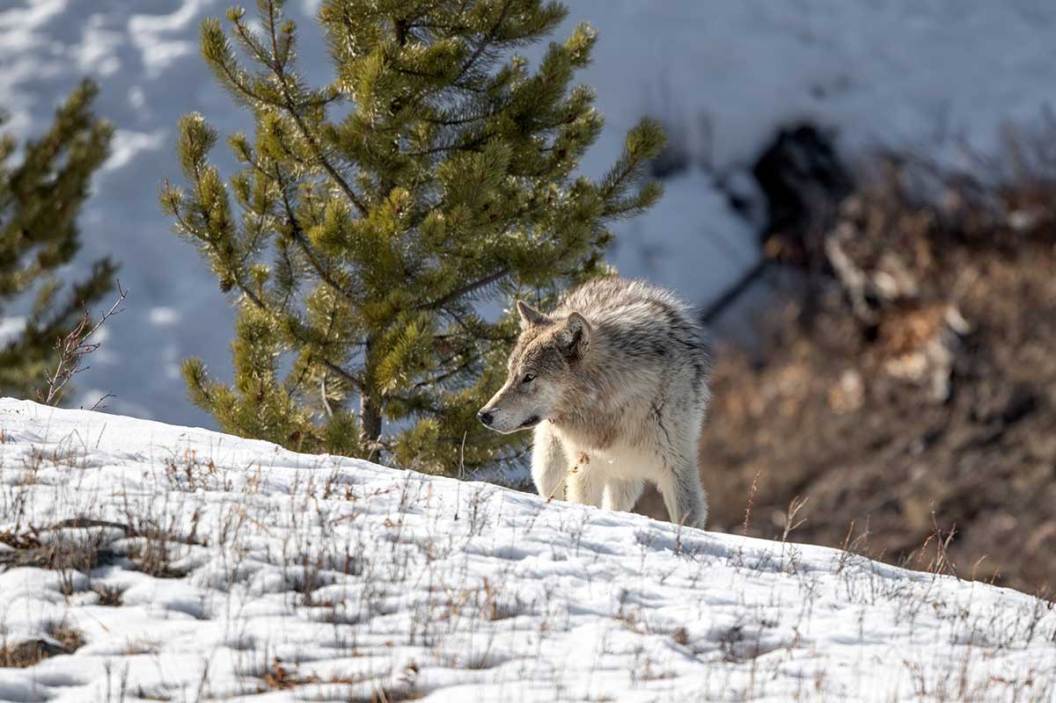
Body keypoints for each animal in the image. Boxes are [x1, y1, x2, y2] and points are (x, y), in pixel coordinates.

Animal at [478, 277, 711, 529]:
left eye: (529, 377)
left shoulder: (677, 468)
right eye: (510, 374)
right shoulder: (586, 469)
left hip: (625, 478)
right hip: (550, 468)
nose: (483, 415)